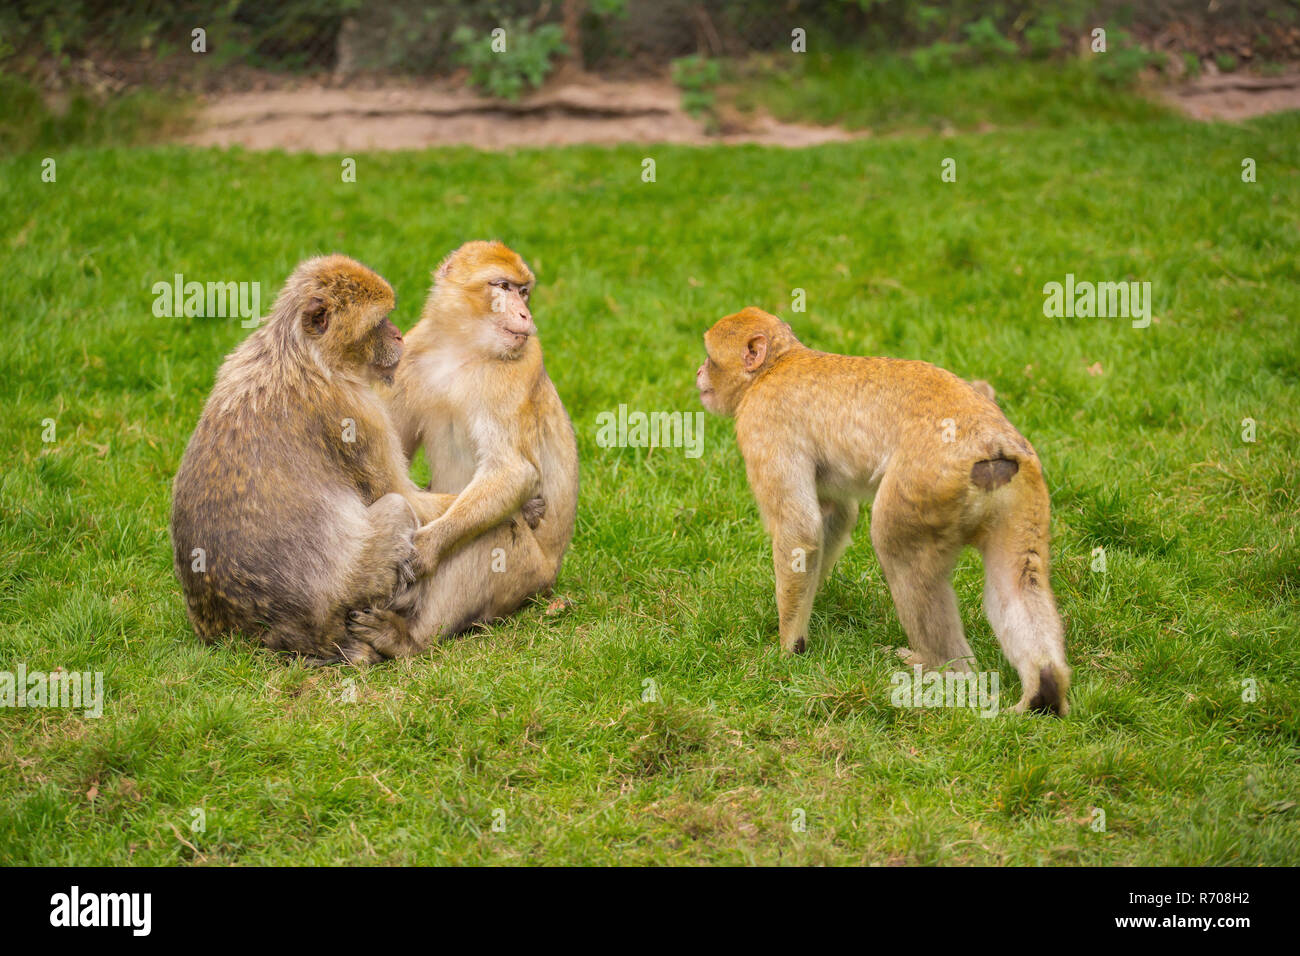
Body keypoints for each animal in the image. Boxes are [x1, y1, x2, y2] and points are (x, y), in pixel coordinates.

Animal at [170, 254, 460, 665]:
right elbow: (404, 496)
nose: (399, 335)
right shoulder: (356, 413)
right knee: (396, 508)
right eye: (379, 322)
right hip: (356, 585)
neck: (301, 354)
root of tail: (256, 638)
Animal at [345, 240, 579, 653]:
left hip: (529, 578)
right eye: (502, 286)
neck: (462, 348)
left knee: (498, 531)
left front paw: (424, 547)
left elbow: (513, 473)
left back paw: (408, 639)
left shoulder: (520, 367)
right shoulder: (410, 356)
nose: (524, 312)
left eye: (523, 291)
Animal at [696, 307, 1070, 715]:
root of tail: (992, 441)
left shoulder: (763, 422)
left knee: (898, 552)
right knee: (1018, 580)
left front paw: (789, 646)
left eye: (710, 356)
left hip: (923, 488)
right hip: (1022, 495)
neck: (775, 366)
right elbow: (833, 514)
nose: (698, 373)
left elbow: (800, 528)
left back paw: (945, 669)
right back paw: (1043, 690)